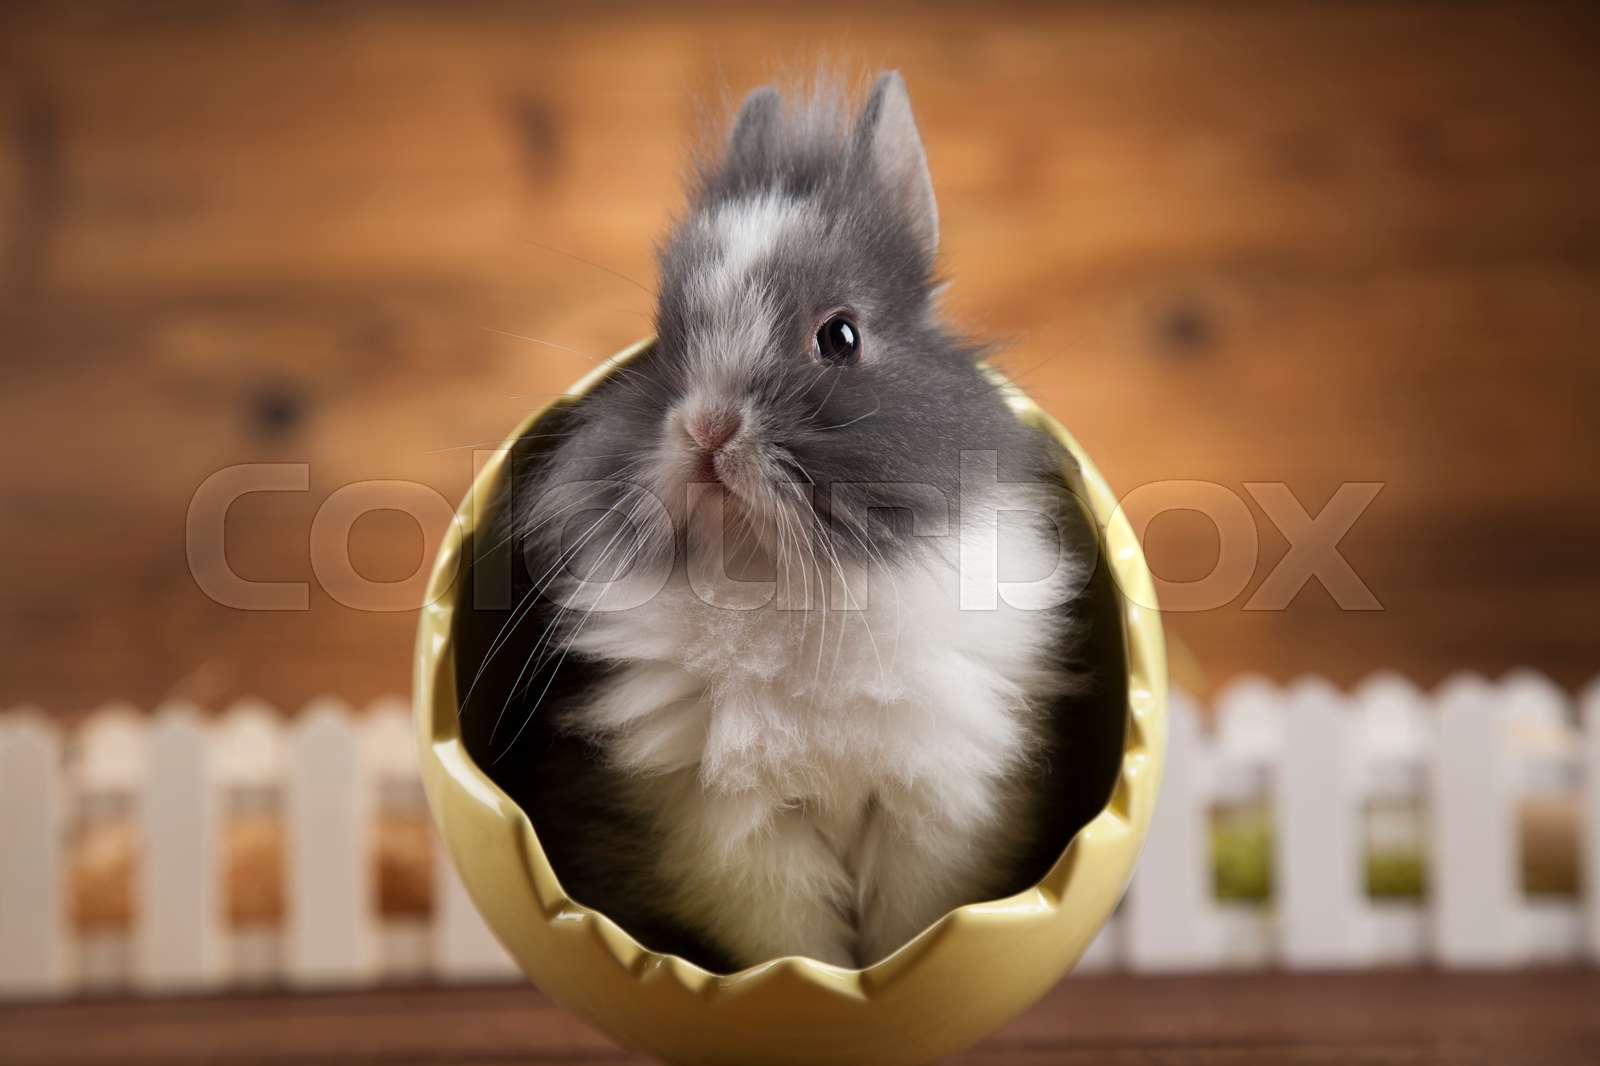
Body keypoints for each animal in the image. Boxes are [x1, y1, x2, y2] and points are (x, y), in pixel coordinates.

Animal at [482, 72, 1089, 971]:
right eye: (662, 342)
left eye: (840, 336)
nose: (706, 429)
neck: (783, 580)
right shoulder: (734, 839)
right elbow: (799, 947)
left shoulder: (938, 808)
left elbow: (910, 930)